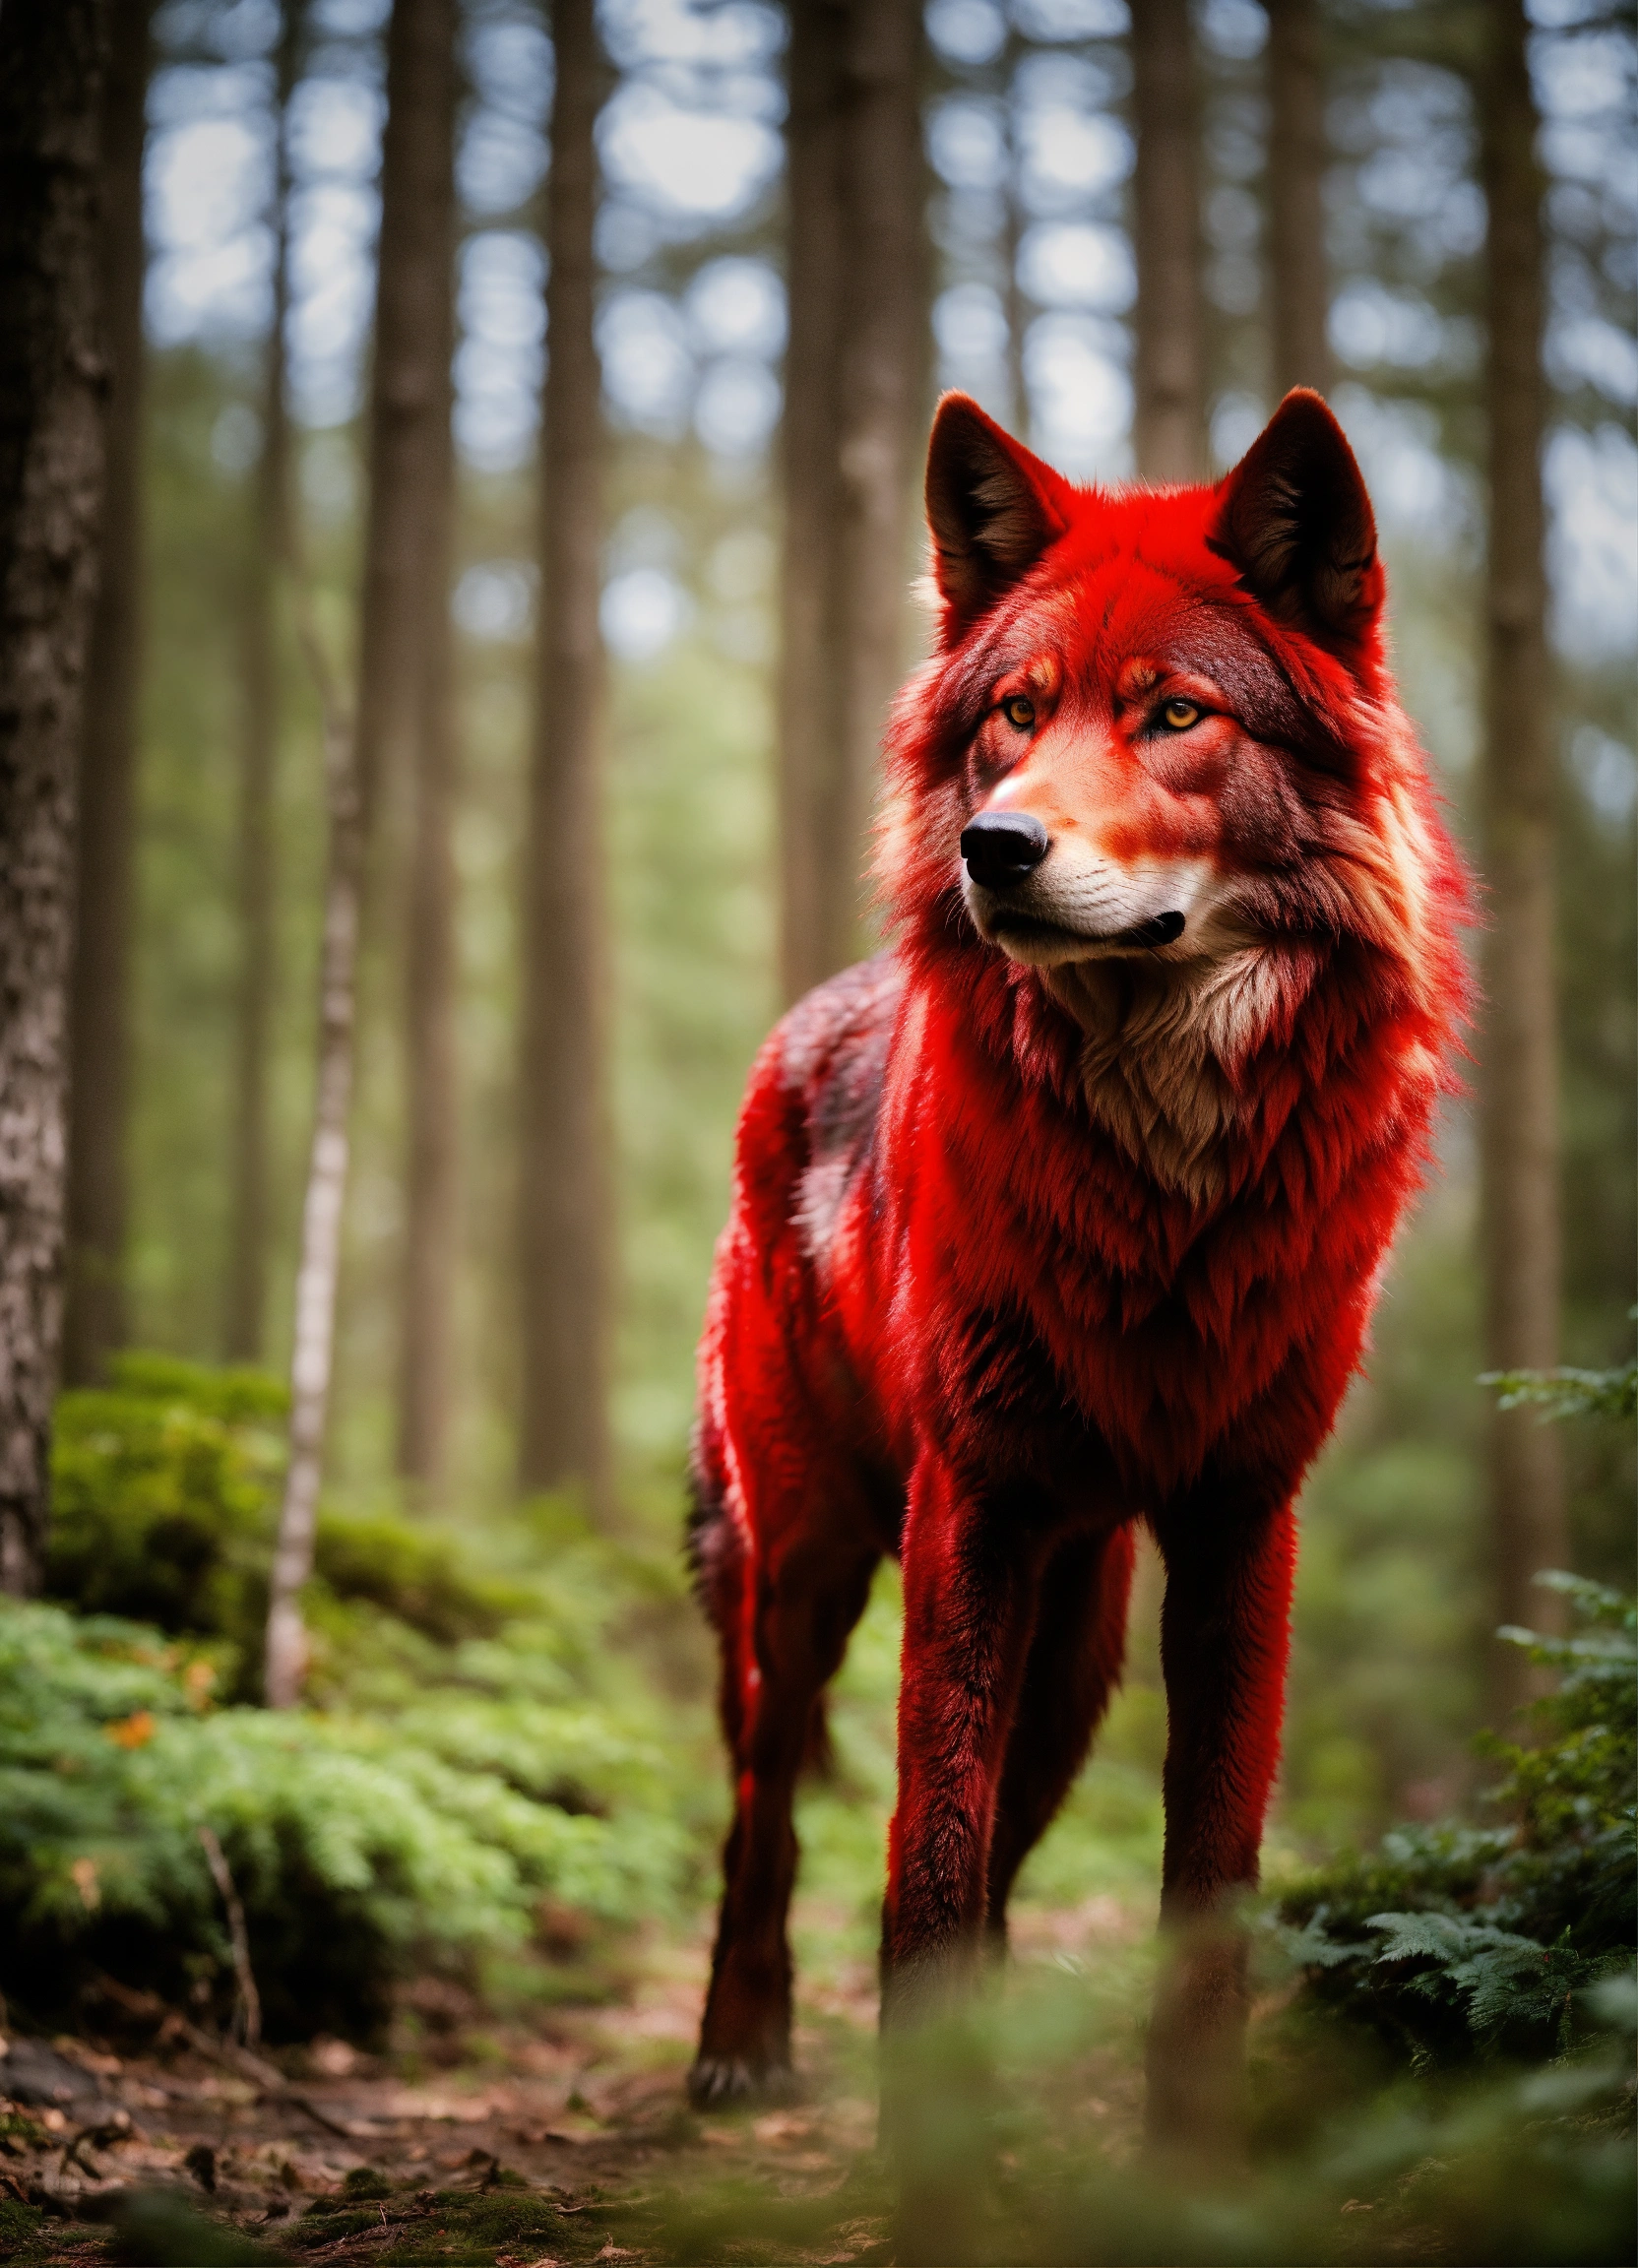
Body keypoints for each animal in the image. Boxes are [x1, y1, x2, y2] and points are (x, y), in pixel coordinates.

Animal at [685, 390, 1467, 2150]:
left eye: (1176, 714)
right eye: (1016, 715)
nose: (995, 847)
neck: (1158, 1189)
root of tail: (796, 1026)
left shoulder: (1244, 1522)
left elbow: (1204, 1875)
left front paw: (1184, 2156)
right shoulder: (967, 1509)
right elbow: (921, 1859)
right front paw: (929, 2163)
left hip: (1079, 1646)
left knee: (996, 1854)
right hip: (812, 1566)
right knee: (768, 1806)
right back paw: (740, 2045)